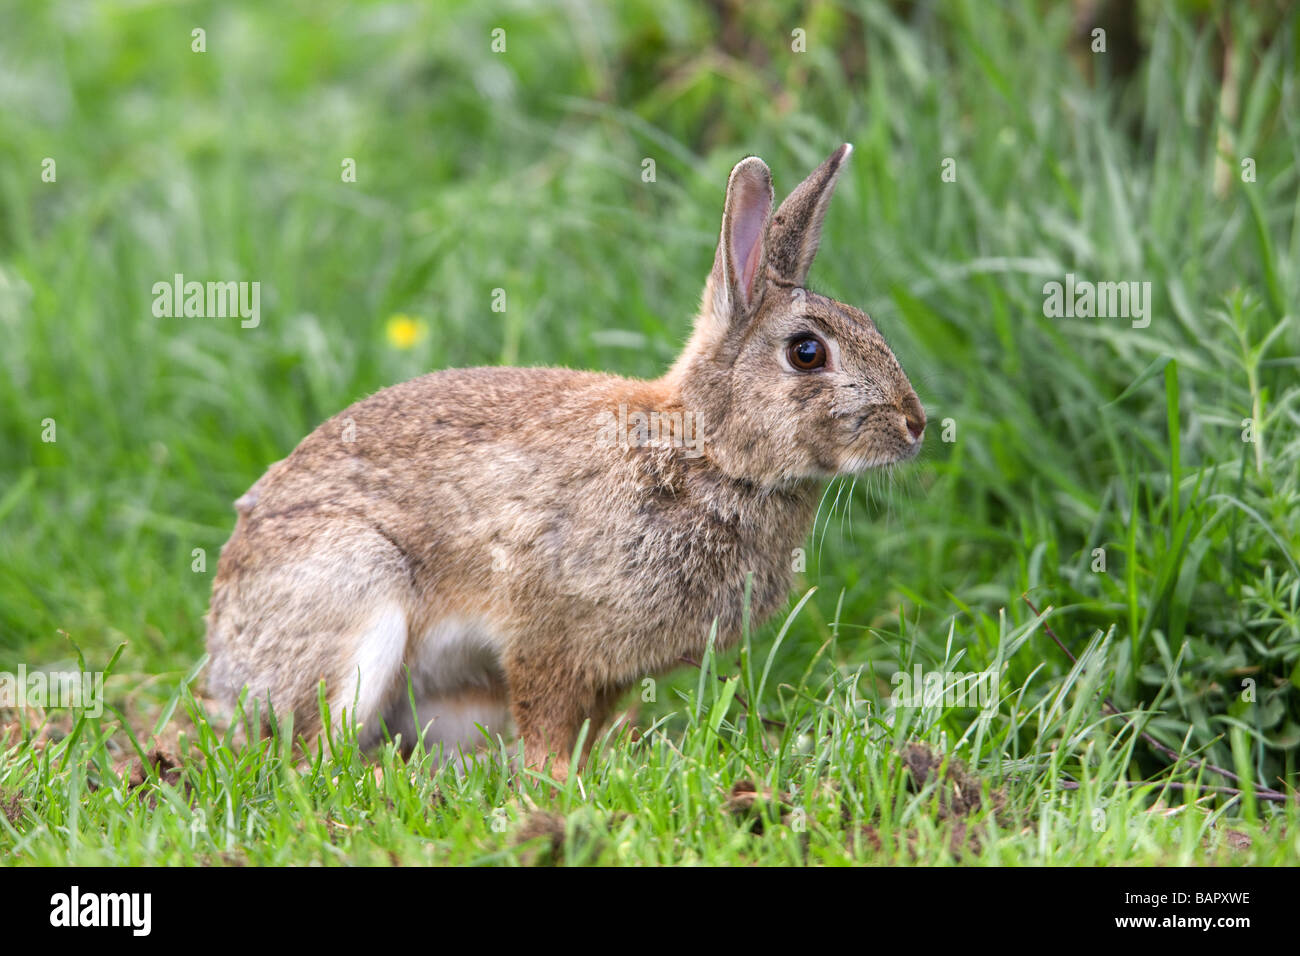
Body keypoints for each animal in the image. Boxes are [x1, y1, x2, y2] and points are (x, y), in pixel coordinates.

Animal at [204, 144, 925, 777]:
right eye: (807, 352)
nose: (915, 424)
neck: (706, 452)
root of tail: (223, 662)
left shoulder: (612, 668)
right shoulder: (545, 628)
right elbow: (546, 713)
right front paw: (557, 779)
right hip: (359, 597)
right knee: (308, 758)